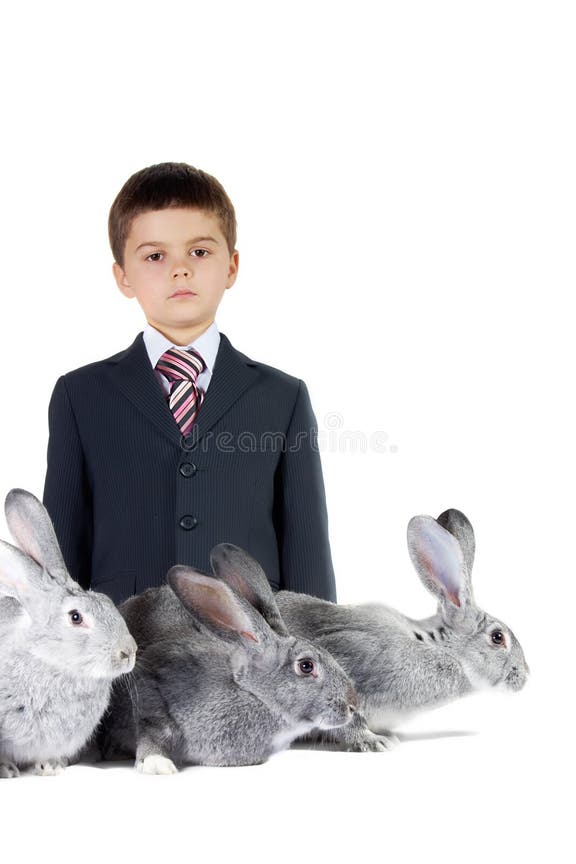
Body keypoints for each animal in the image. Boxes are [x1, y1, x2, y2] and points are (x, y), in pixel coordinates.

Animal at [100, 545, 360, 774]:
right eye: (306, 666)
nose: (351, 706)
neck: (252, 694)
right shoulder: (150, 686)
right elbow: (152, 729)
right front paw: (156, 764)